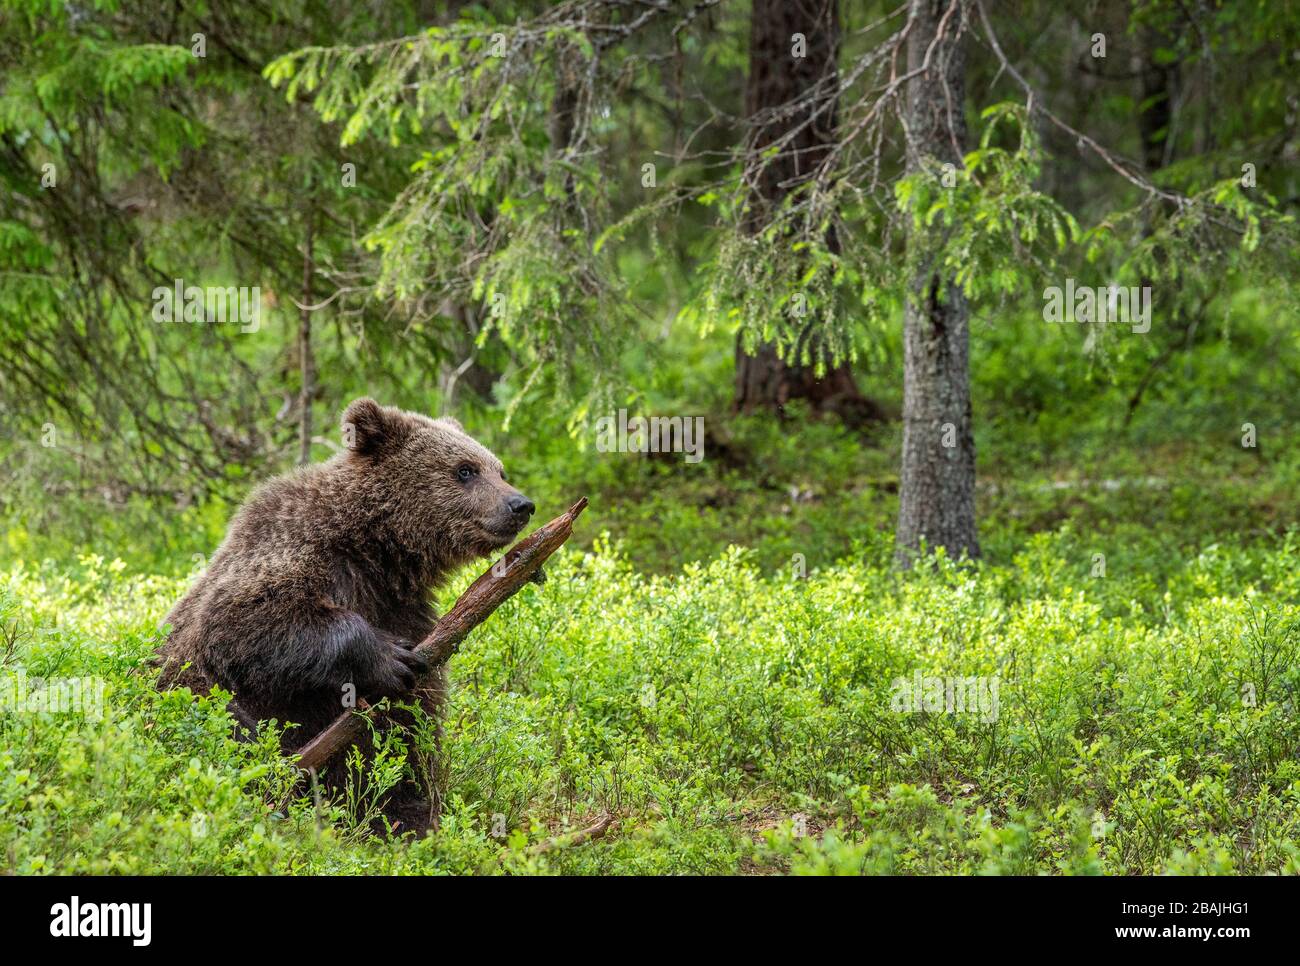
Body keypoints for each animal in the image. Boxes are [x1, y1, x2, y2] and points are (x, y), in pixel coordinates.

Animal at [154, 397, 535, 835]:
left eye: (499, 469)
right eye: (465, 470)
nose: (521, 504)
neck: (379, 552)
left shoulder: (404, 607)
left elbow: (410, 724)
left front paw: (407, 813)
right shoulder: (294, 554)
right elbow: (244, 619)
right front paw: (387, 656)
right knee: (214, 713)